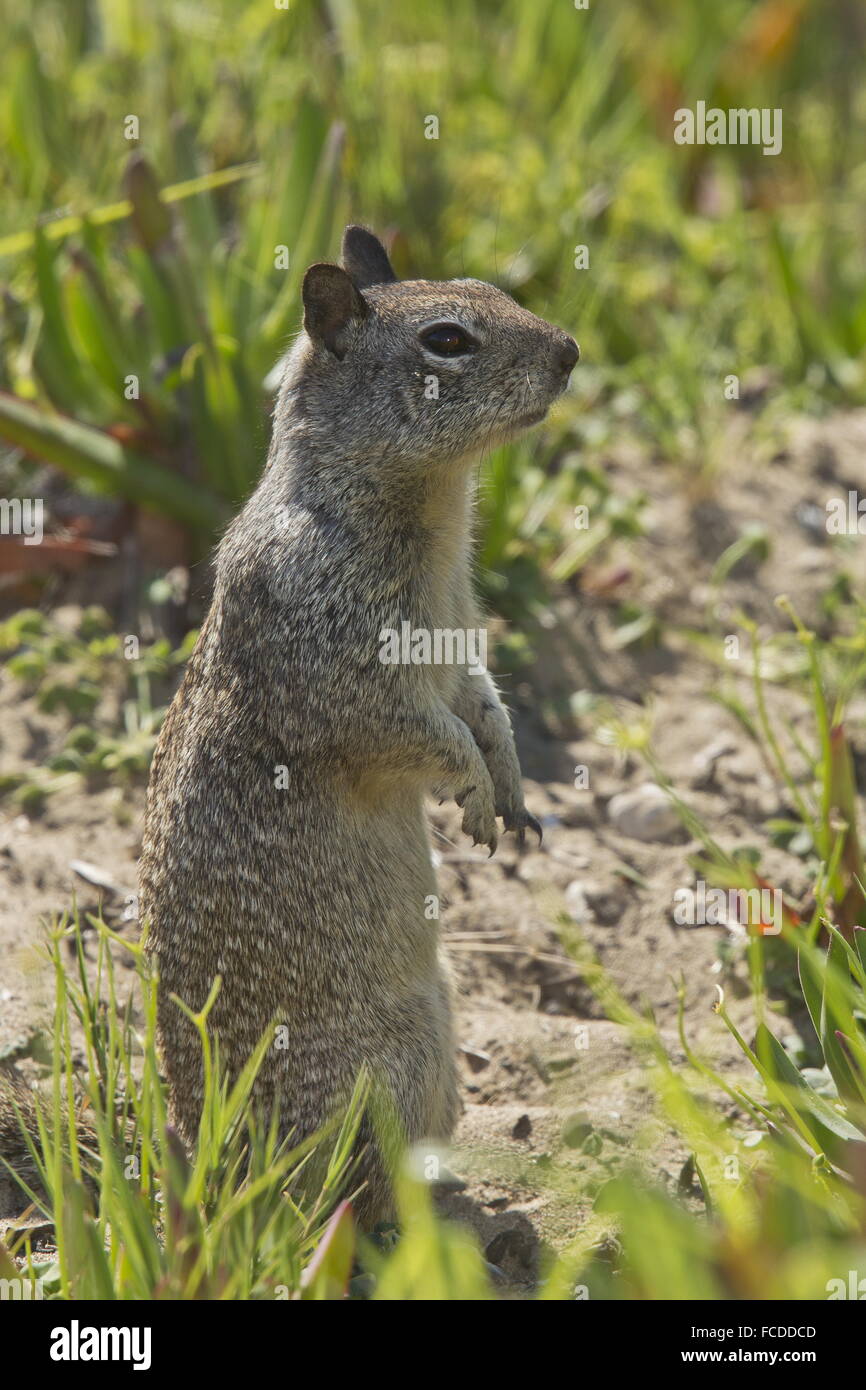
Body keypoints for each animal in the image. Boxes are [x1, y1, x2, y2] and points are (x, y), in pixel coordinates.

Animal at [2, 228, 578, 1228]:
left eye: (488, 287)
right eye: (448, 340)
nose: (572, 351)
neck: (429, 507)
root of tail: (204, 1162)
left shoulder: (457, 642)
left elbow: (484, 703)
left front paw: (511, 788)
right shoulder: (348, 674)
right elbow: (420, 733)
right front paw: (471, 790)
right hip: (385, 1071)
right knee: (344, 1197)